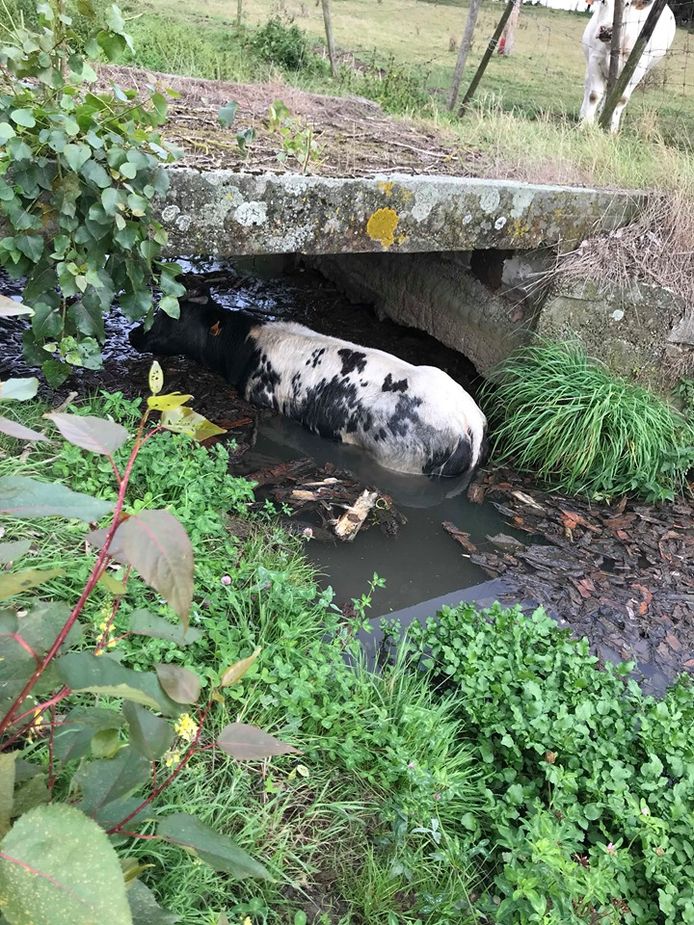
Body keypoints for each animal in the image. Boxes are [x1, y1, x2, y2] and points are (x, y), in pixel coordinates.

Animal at [579, 0, 676, 133]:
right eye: (603, 1)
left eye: (628, 4)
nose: (607, 30)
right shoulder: (595, 59)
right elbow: (594, 95)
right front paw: (586, 125)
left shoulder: (637, 69)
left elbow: (621, 99)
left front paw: (613, 130)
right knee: (588, 85)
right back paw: (583, 115)